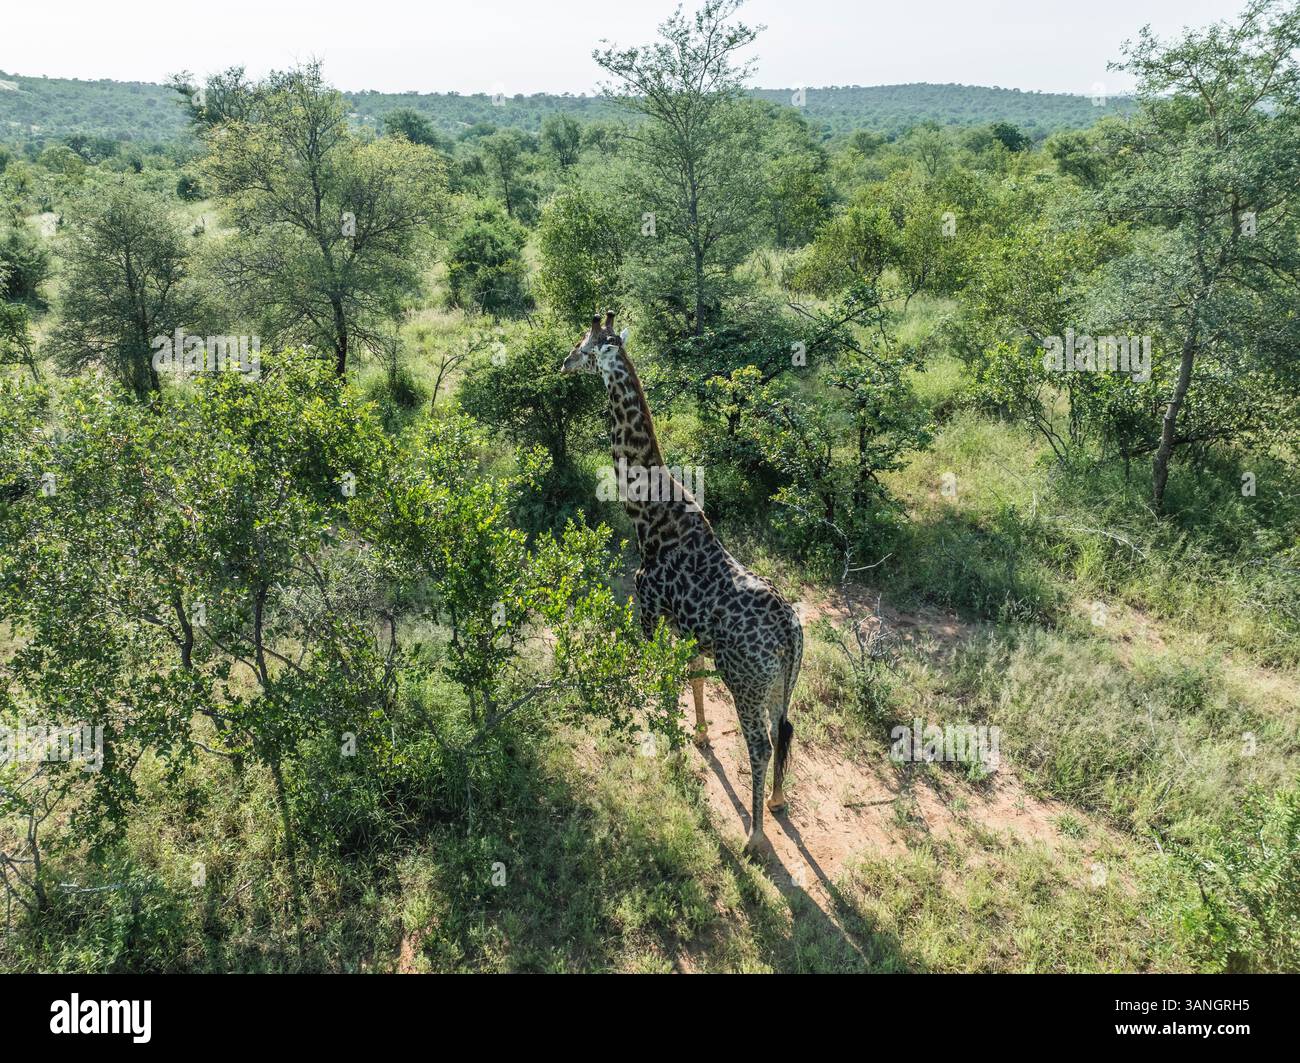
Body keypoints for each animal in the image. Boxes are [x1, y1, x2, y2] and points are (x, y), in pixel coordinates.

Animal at [562, 311, 804, 857]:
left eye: (583, 347)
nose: (562, 363)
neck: (648, 512)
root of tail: (790, 632)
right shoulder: (686, 627)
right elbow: (689, 675)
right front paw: (696, 737)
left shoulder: (648, 608)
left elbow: (657, 678)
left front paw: (667, 745)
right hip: (783, 683)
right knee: (784, 730)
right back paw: (777, 802)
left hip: (745, 683)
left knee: (760, 745)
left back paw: (754, 837)